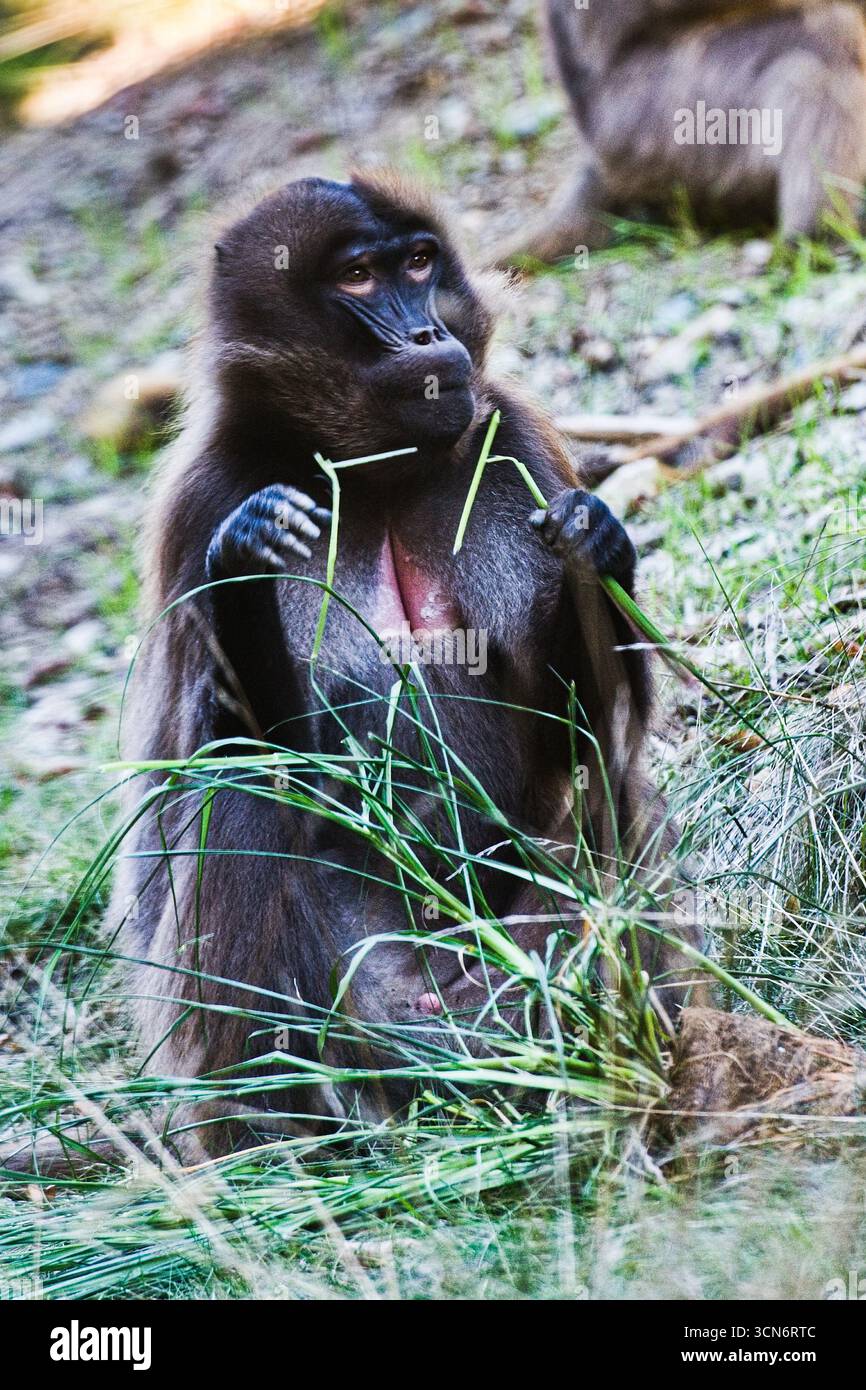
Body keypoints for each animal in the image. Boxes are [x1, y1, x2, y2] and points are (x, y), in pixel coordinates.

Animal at [93, 171, 703, 1163]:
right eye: (358, 277)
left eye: (418, 263)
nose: (425, 337)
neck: (368, 468)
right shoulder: (204, 501)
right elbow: (207, 772)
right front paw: (246, 573)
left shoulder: (512, 440)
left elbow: (580, 739)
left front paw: (593, 550)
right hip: (363, 997)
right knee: (243, 791)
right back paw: (292, 1137)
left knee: (604, 810)